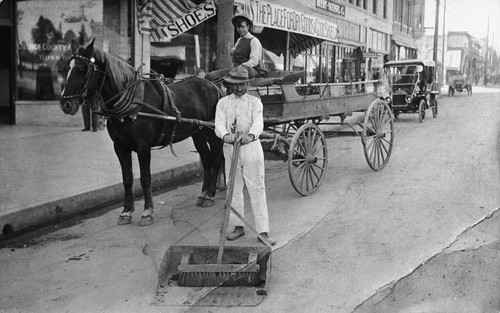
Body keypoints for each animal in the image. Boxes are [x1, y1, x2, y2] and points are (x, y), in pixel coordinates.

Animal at [59, 38, 224, 224]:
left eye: (81, 69)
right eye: (65, 69)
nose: (65, 104)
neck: (131, 104)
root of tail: (213, 85)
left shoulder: (143, 147)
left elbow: (145, 179)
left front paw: (147, 212)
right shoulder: (120, 147)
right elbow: (127, 179)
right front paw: (126, 212)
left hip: (211, 130)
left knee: (217, 157)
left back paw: (210, 195)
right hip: (198, 131)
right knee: (206, 159)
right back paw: (203, 194)